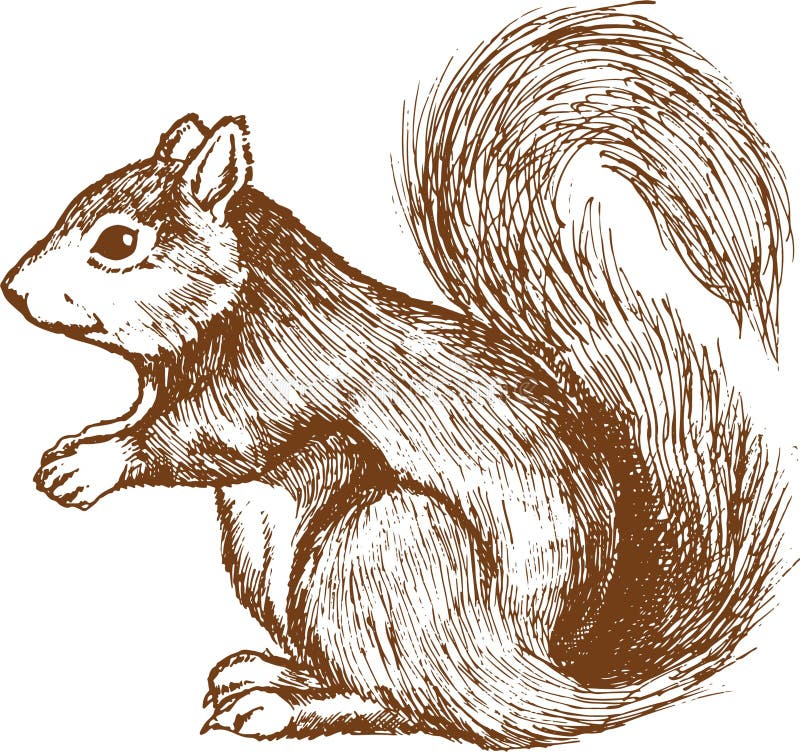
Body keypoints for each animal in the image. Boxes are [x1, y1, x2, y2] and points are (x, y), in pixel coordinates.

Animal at [1, 5, 792, 749]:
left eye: (118, 242)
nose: (13, 289)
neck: (224, 312)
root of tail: (547, 681)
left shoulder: (277, 378)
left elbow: (210, 439)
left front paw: (94, 465)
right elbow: (139, 415)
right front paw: (82, 443)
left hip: (376, 554)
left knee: (412, 703)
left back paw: (282, 707)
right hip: (271, 560)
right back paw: (271, 672)